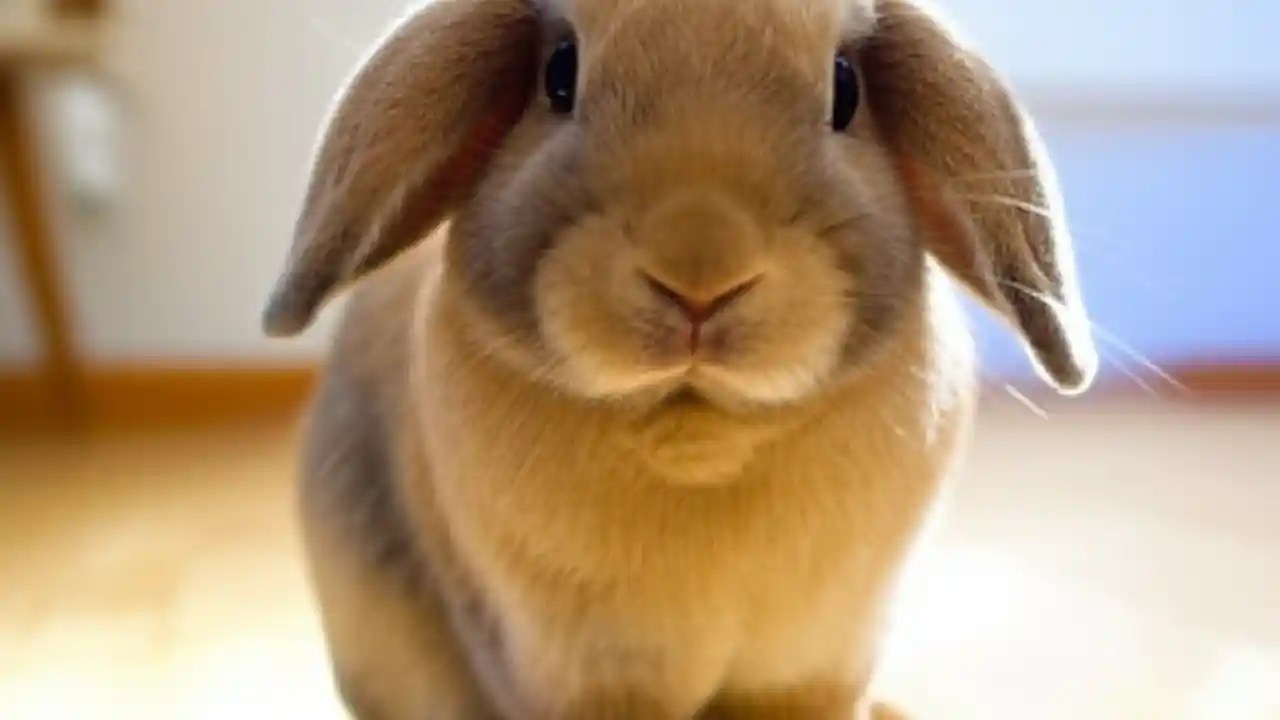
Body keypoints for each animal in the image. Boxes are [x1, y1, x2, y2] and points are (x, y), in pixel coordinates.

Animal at [262, 0, 1097, 717]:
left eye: (846, 89)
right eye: (558, 74)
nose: (700, 272)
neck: (698, 429)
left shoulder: (814, 665)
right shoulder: (575, 673)